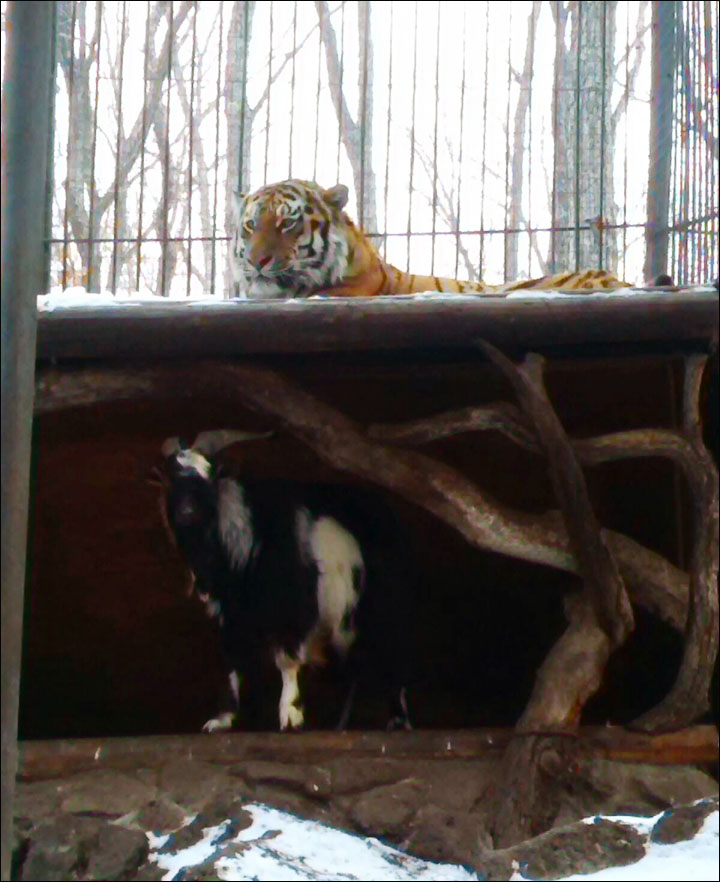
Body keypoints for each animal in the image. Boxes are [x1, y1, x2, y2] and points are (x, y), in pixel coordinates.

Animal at [154, 429, 413, 733]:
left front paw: (289, 715)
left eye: (209, 474)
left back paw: (398, 719)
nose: (186, 510)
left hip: (379, 607)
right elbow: (232, 661)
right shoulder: (231, 612)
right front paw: (223, 719)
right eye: (172, 476)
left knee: (388, 656)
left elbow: (287, 660)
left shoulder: (295, 604)